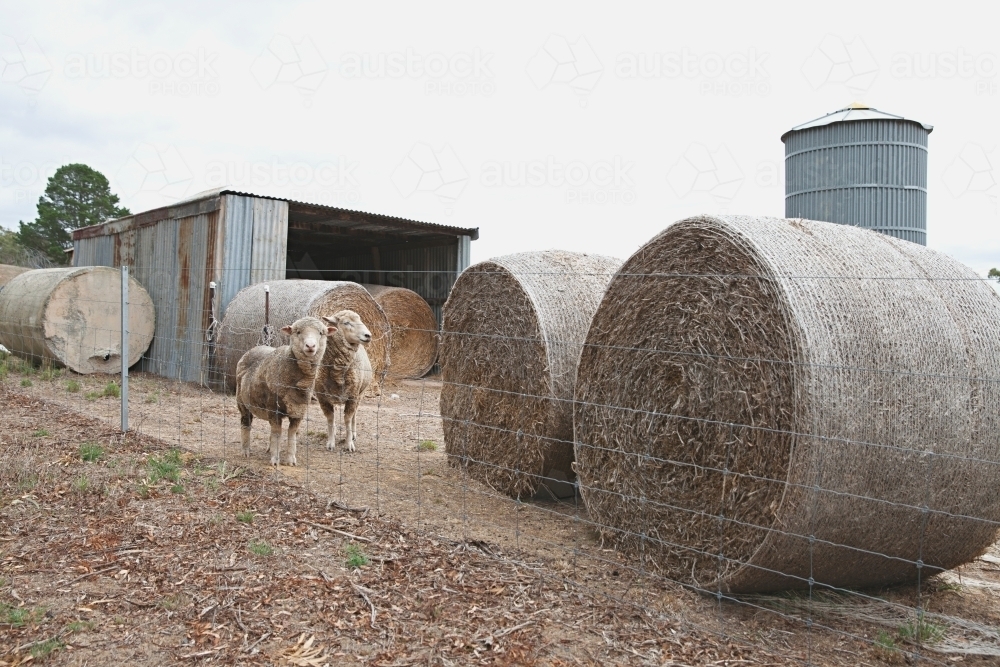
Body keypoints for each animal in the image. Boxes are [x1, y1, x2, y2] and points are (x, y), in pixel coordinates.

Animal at [236, 316, 333, 466]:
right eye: (298, 332)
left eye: (321, 333)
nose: (310, 346)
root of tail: (255, 347)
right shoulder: (274, 409)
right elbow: (277, 433)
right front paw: (275, 460)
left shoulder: (298, 411)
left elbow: (291, 434)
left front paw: (290, 459)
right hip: (242, 402)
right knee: (245, 423)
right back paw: (245, 450)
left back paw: (268, 449)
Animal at [315, 309, 374, 452]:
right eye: (346, 322)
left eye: (360, 320)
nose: (368, 335)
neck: (337, 371)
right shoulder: (322, 398)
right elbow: (330, 419)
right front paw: (331, 442)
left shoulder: (352, 396)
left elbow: (347, 419)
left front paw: (349, 444)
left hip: (360, 394)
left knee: (354, 415)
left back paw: (353, 433)